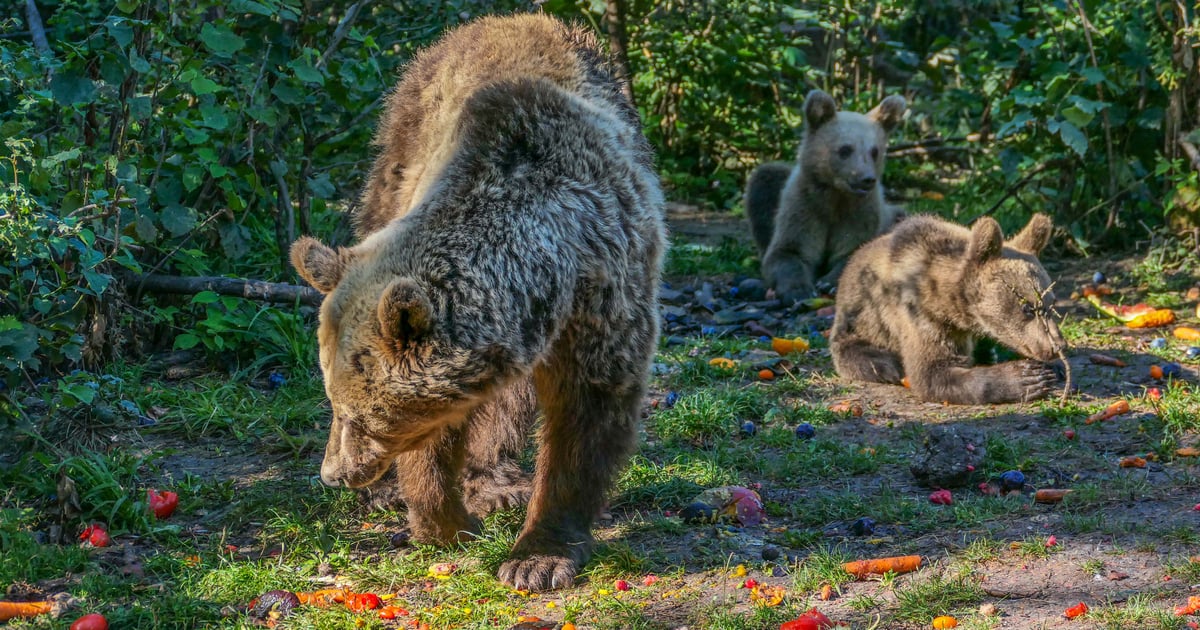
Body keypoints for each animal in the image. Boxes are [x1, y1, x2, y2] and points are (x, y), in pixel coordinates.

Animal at [289, 13, 666, 592]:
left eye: (357, 416)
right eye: (333, 405)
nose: (335, 474)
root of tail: (503, 19)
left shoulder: (607, 287)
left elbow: (585, 416)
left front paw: (538, 557)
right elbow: (435, 433)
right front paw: (442, 522)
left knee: (511, 405)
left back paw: (496, 482)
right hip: (399, 145)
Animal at [744, 89, 907, 303]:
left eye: (875, 151)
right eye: (845, 149)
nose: (866, 179)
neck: (835, 197)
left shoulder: (861, 213)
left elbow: (854, 250)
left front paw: (829, 282)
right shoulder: (803, 207)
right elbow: (787, 251)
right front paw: (798, 290)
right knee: (764, 181)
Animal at [829, 213, 1066, 405]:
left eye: (1051, 303)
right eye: (1027, 307)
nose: (1057, 346)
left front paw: (1055, 368)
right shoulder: (919, 314)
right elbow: (932, 372)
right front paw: (1026, 377)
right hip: (859, 322)